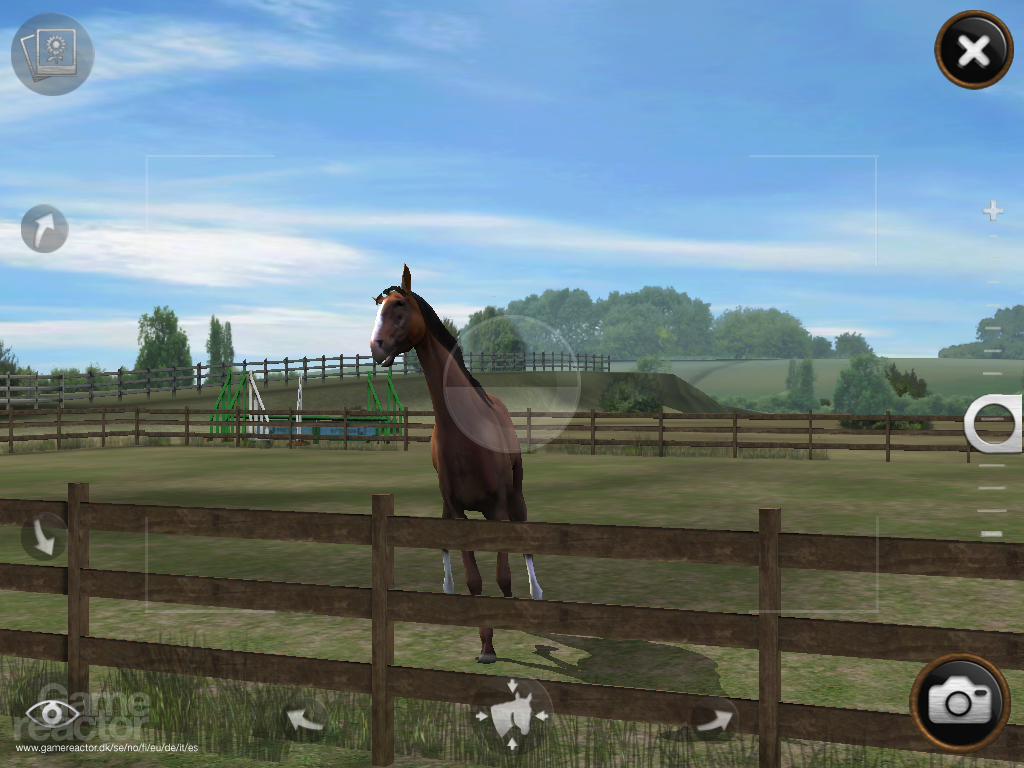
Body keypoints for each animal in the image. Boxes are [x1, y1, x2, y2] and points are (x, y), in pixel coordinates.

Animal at [370, 264, 542, 664]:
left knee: (523, 539)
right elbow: (473, 580)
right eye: (379, 305)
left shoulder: (498, 508)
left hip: (515, 496)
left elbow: (502, 573)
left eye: (399, 305)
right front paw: (486, 644)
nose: (376, 346)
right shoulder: (460, 514)